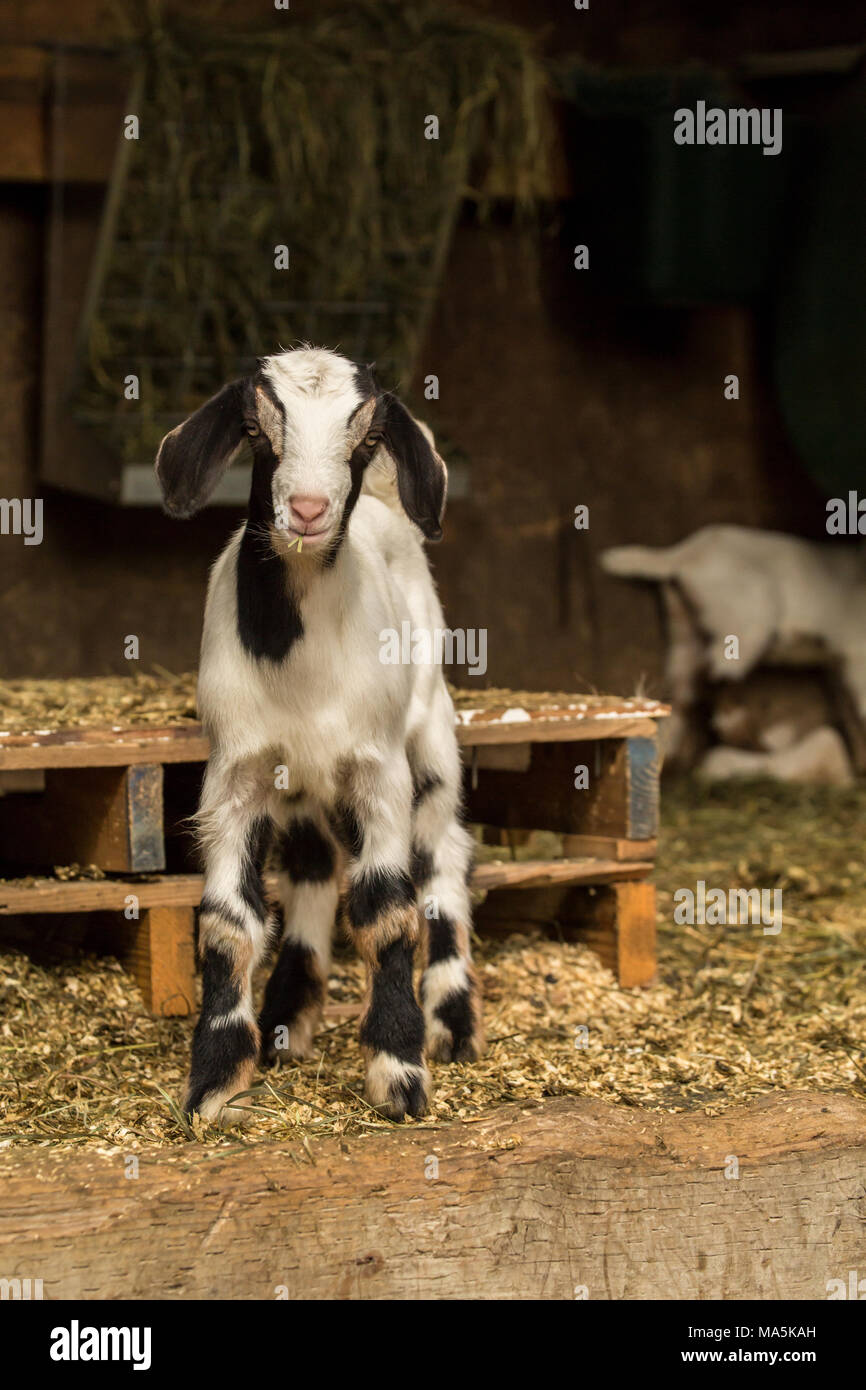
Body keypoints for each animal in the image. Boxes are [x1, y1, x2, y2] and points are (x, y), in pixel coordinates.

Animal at [155, 347, 483, 1123]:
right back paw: (287, 1017)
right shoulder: (236, 775)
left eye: (366, 438)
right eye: (255, 428)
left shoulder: (378, 772)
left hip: (430, 733)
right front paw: (214, 1082)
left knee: (444, 854)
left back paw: (451, 1020)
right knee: (313, 865)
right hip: (301, 783)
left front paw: (399, 1074)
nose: (307, 509)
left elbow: (386, 911)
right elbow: (228, 922)